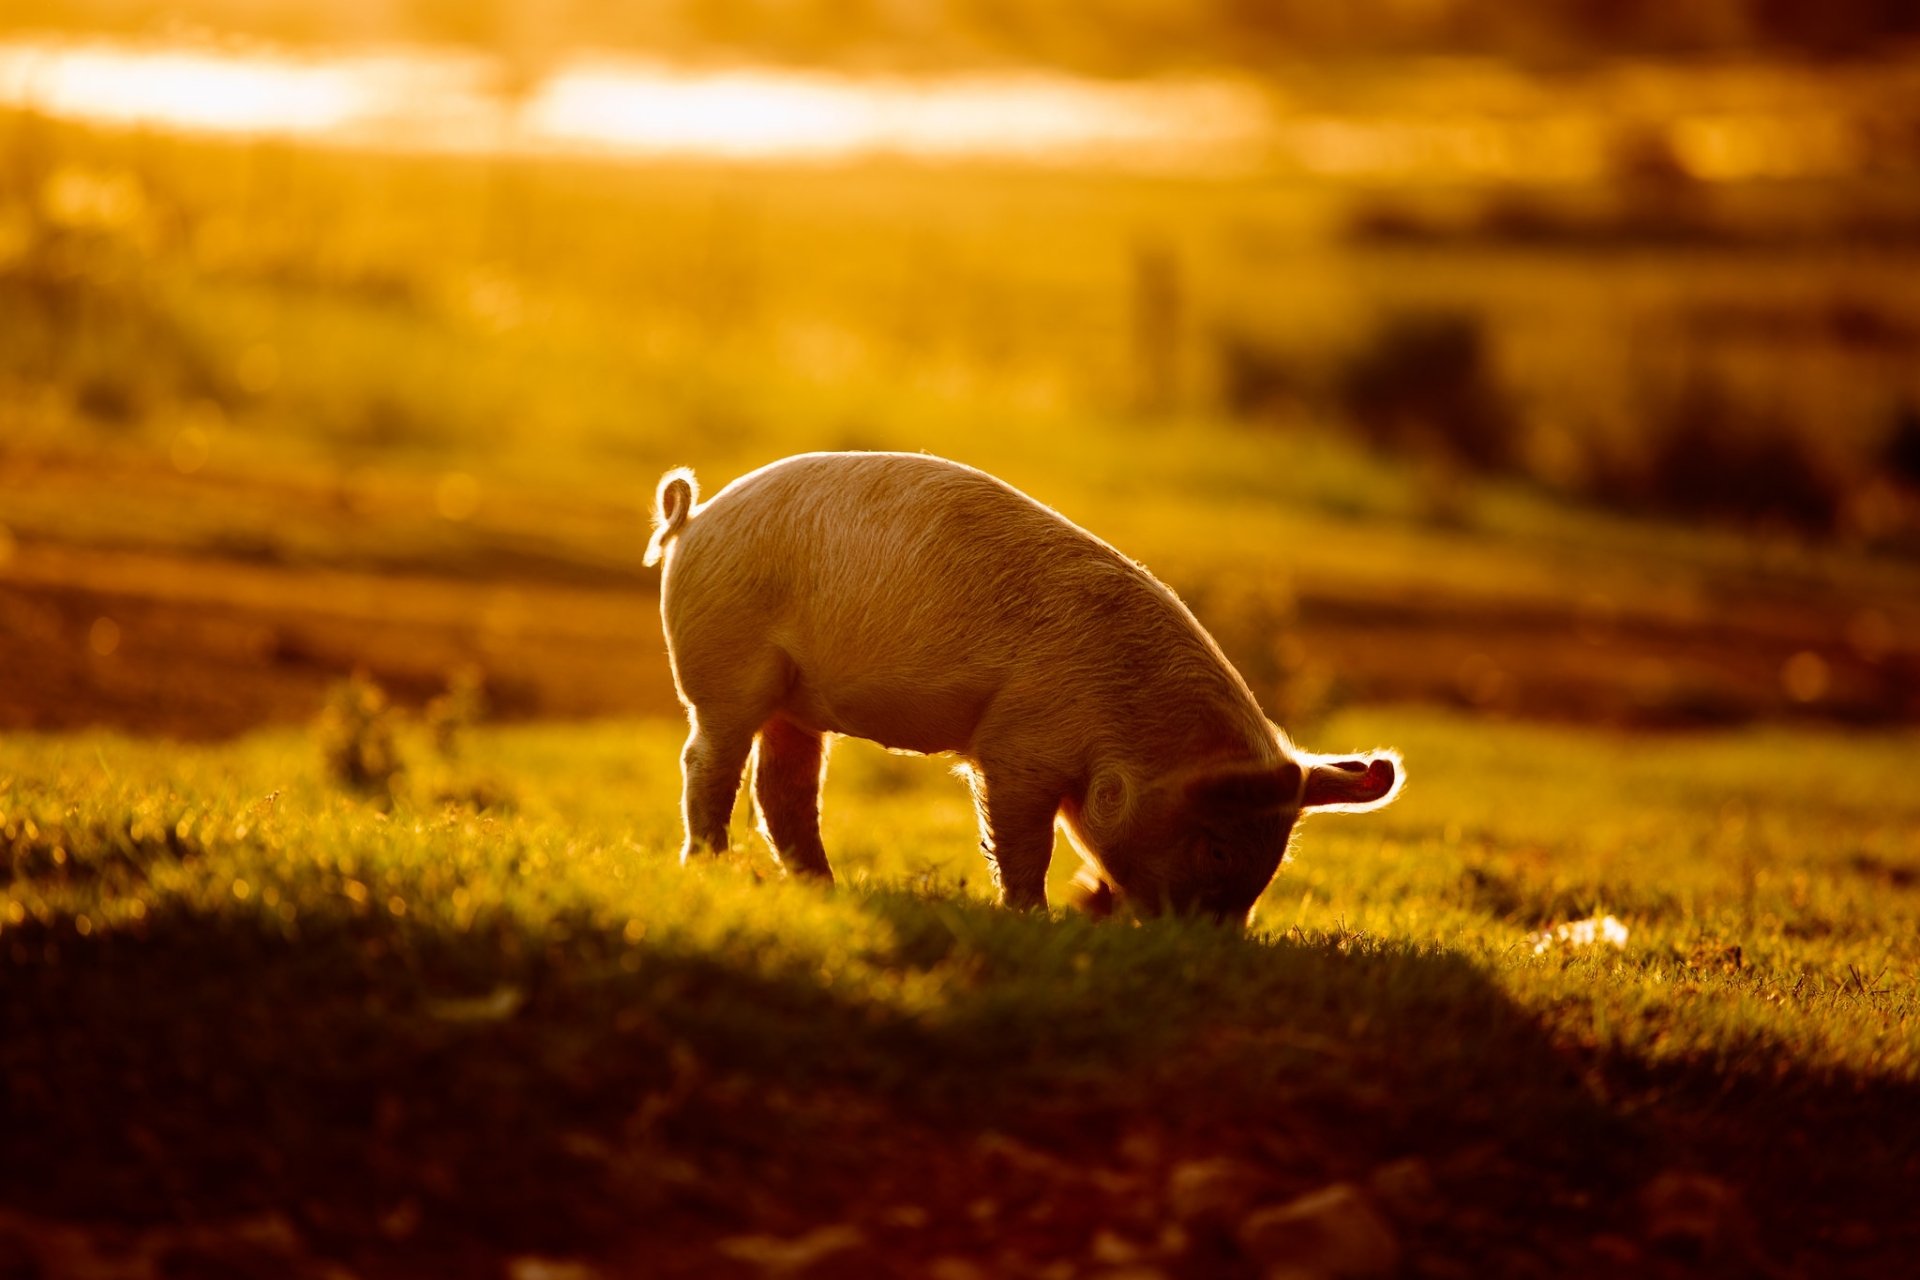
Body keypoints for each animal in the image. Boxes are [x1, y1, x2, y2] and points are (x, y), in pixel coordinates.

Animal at [644, 452, 1401, 925]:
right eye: (1217, 848)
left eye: (1273, 861)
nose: (1212, 945)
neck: (1127, 720)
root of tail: (694, 520)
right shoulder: (1019, 745)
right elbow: (1022, 840)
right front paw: (1033, 915)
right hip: (728, 665)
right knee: (706, 760)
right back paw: (708, 867)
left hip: (797, 705)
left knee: (785, 787)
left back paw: (825, 887)